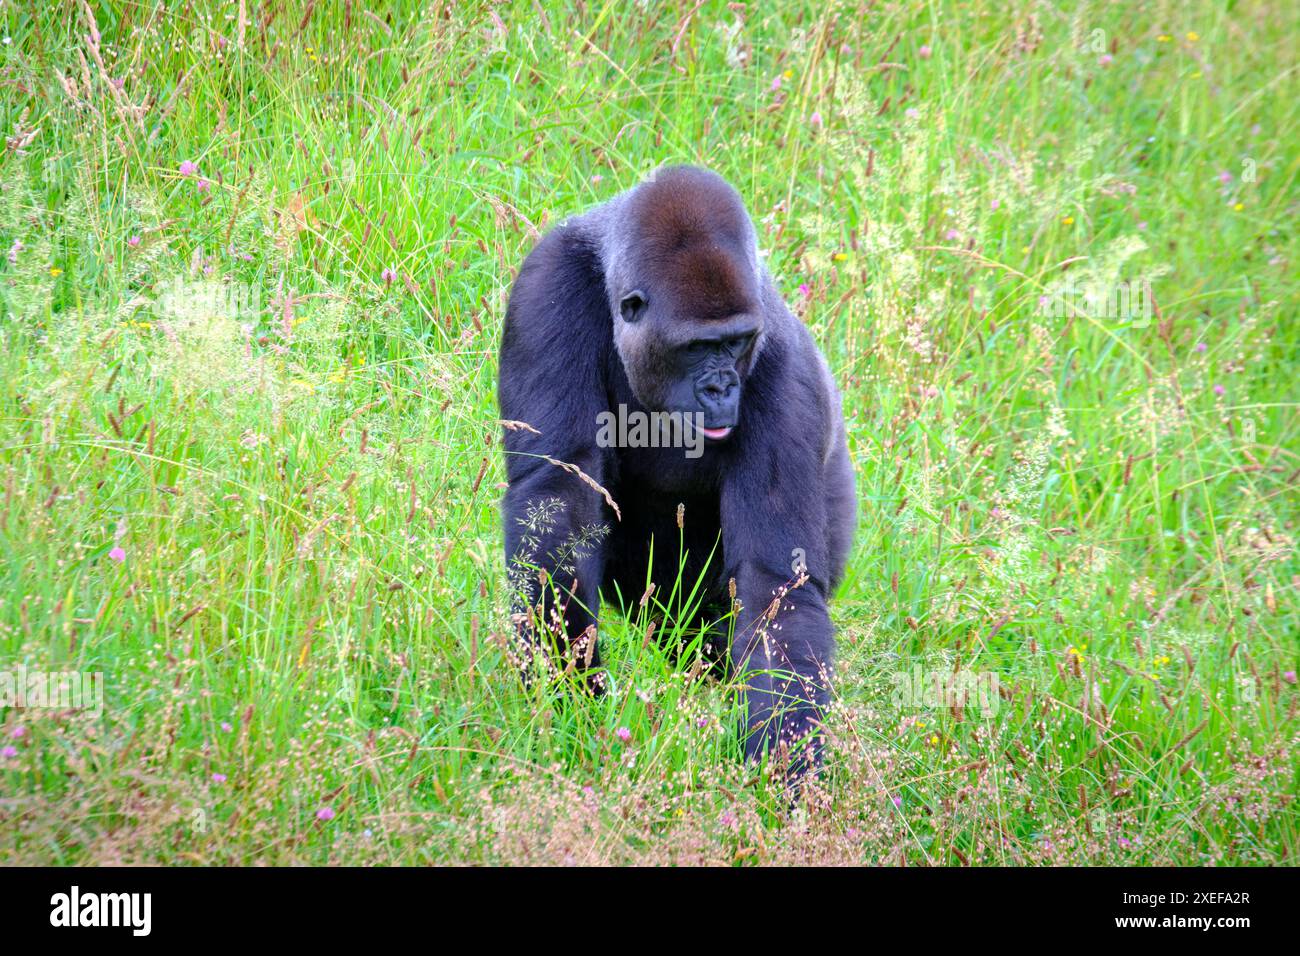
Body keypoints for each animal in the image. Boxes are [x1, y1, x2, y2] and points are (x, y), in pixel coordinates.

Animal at [498, 165, 856, 775]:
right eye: (697, 347)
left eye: (734, 344)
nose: (720, 388)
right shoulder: (548, 286)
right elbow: (556, 497)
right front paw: (568, 688)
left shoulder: (780, 367)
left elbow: (775, 589)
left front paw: (785, 768)